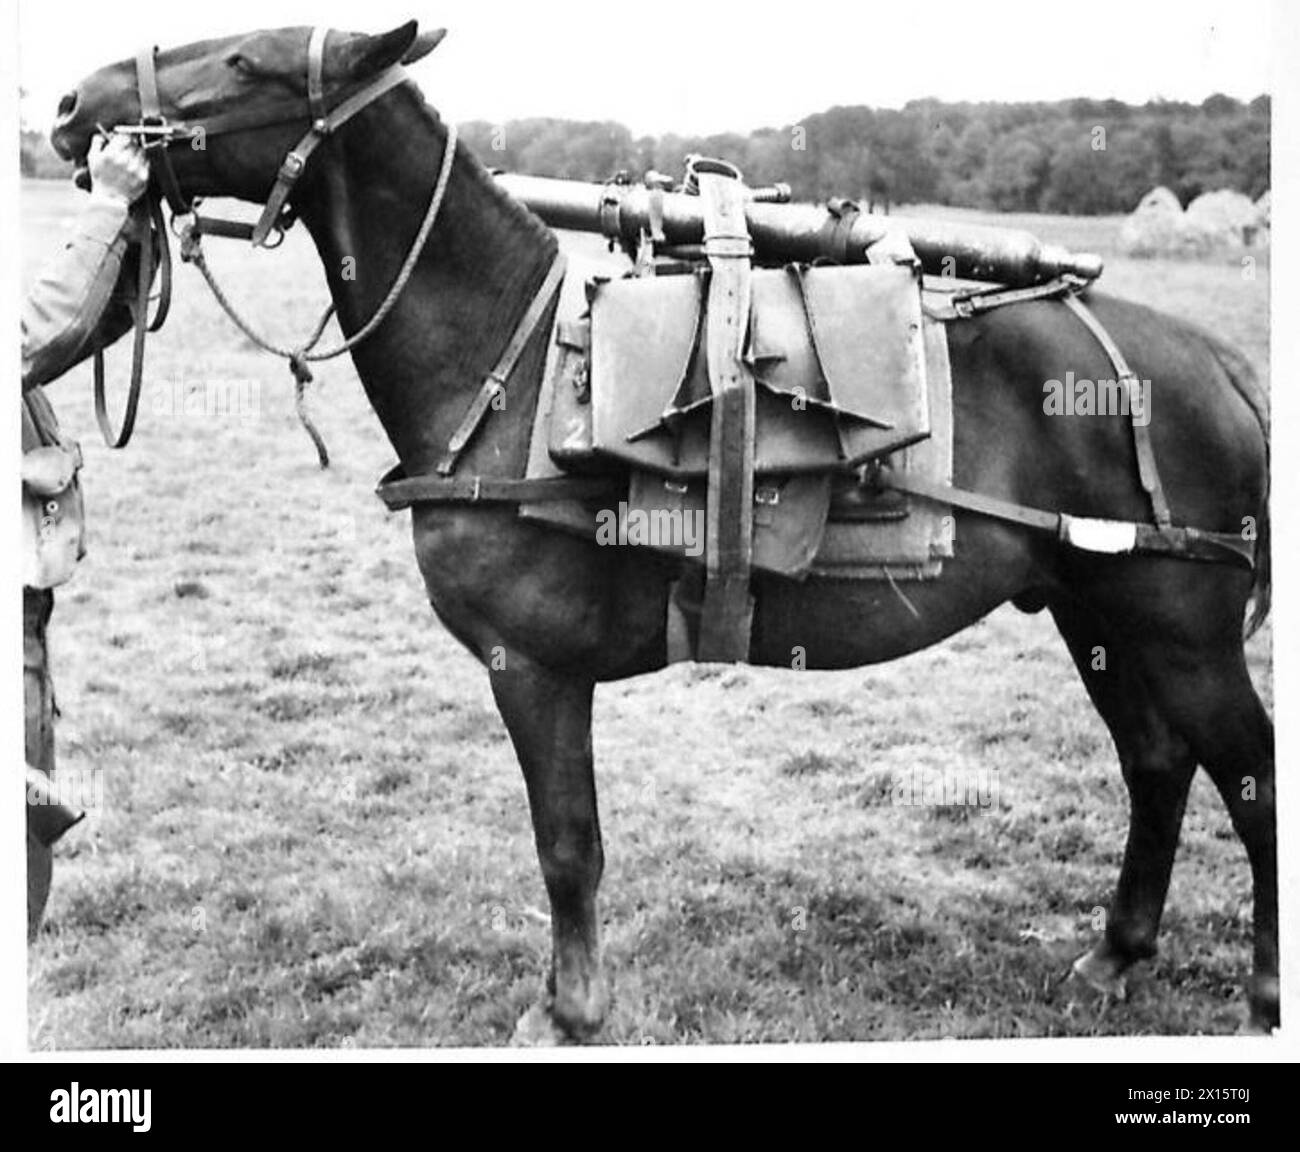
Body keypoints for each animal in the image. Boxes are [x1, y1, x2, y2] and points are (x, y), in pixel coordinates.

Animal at [50, 20, 1275, 1040]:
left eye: (244, 63)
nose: (69, 103)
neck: (514, 370)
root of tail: (1214, 361)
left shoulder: (531, 667)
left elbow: (567, 845)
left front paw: (569, 1012)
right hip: (1096, 608)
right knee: (1157, 761)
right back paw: (1116, 956)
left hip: (1181, 629)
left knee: (1248, 771)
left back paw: (1262, 990)